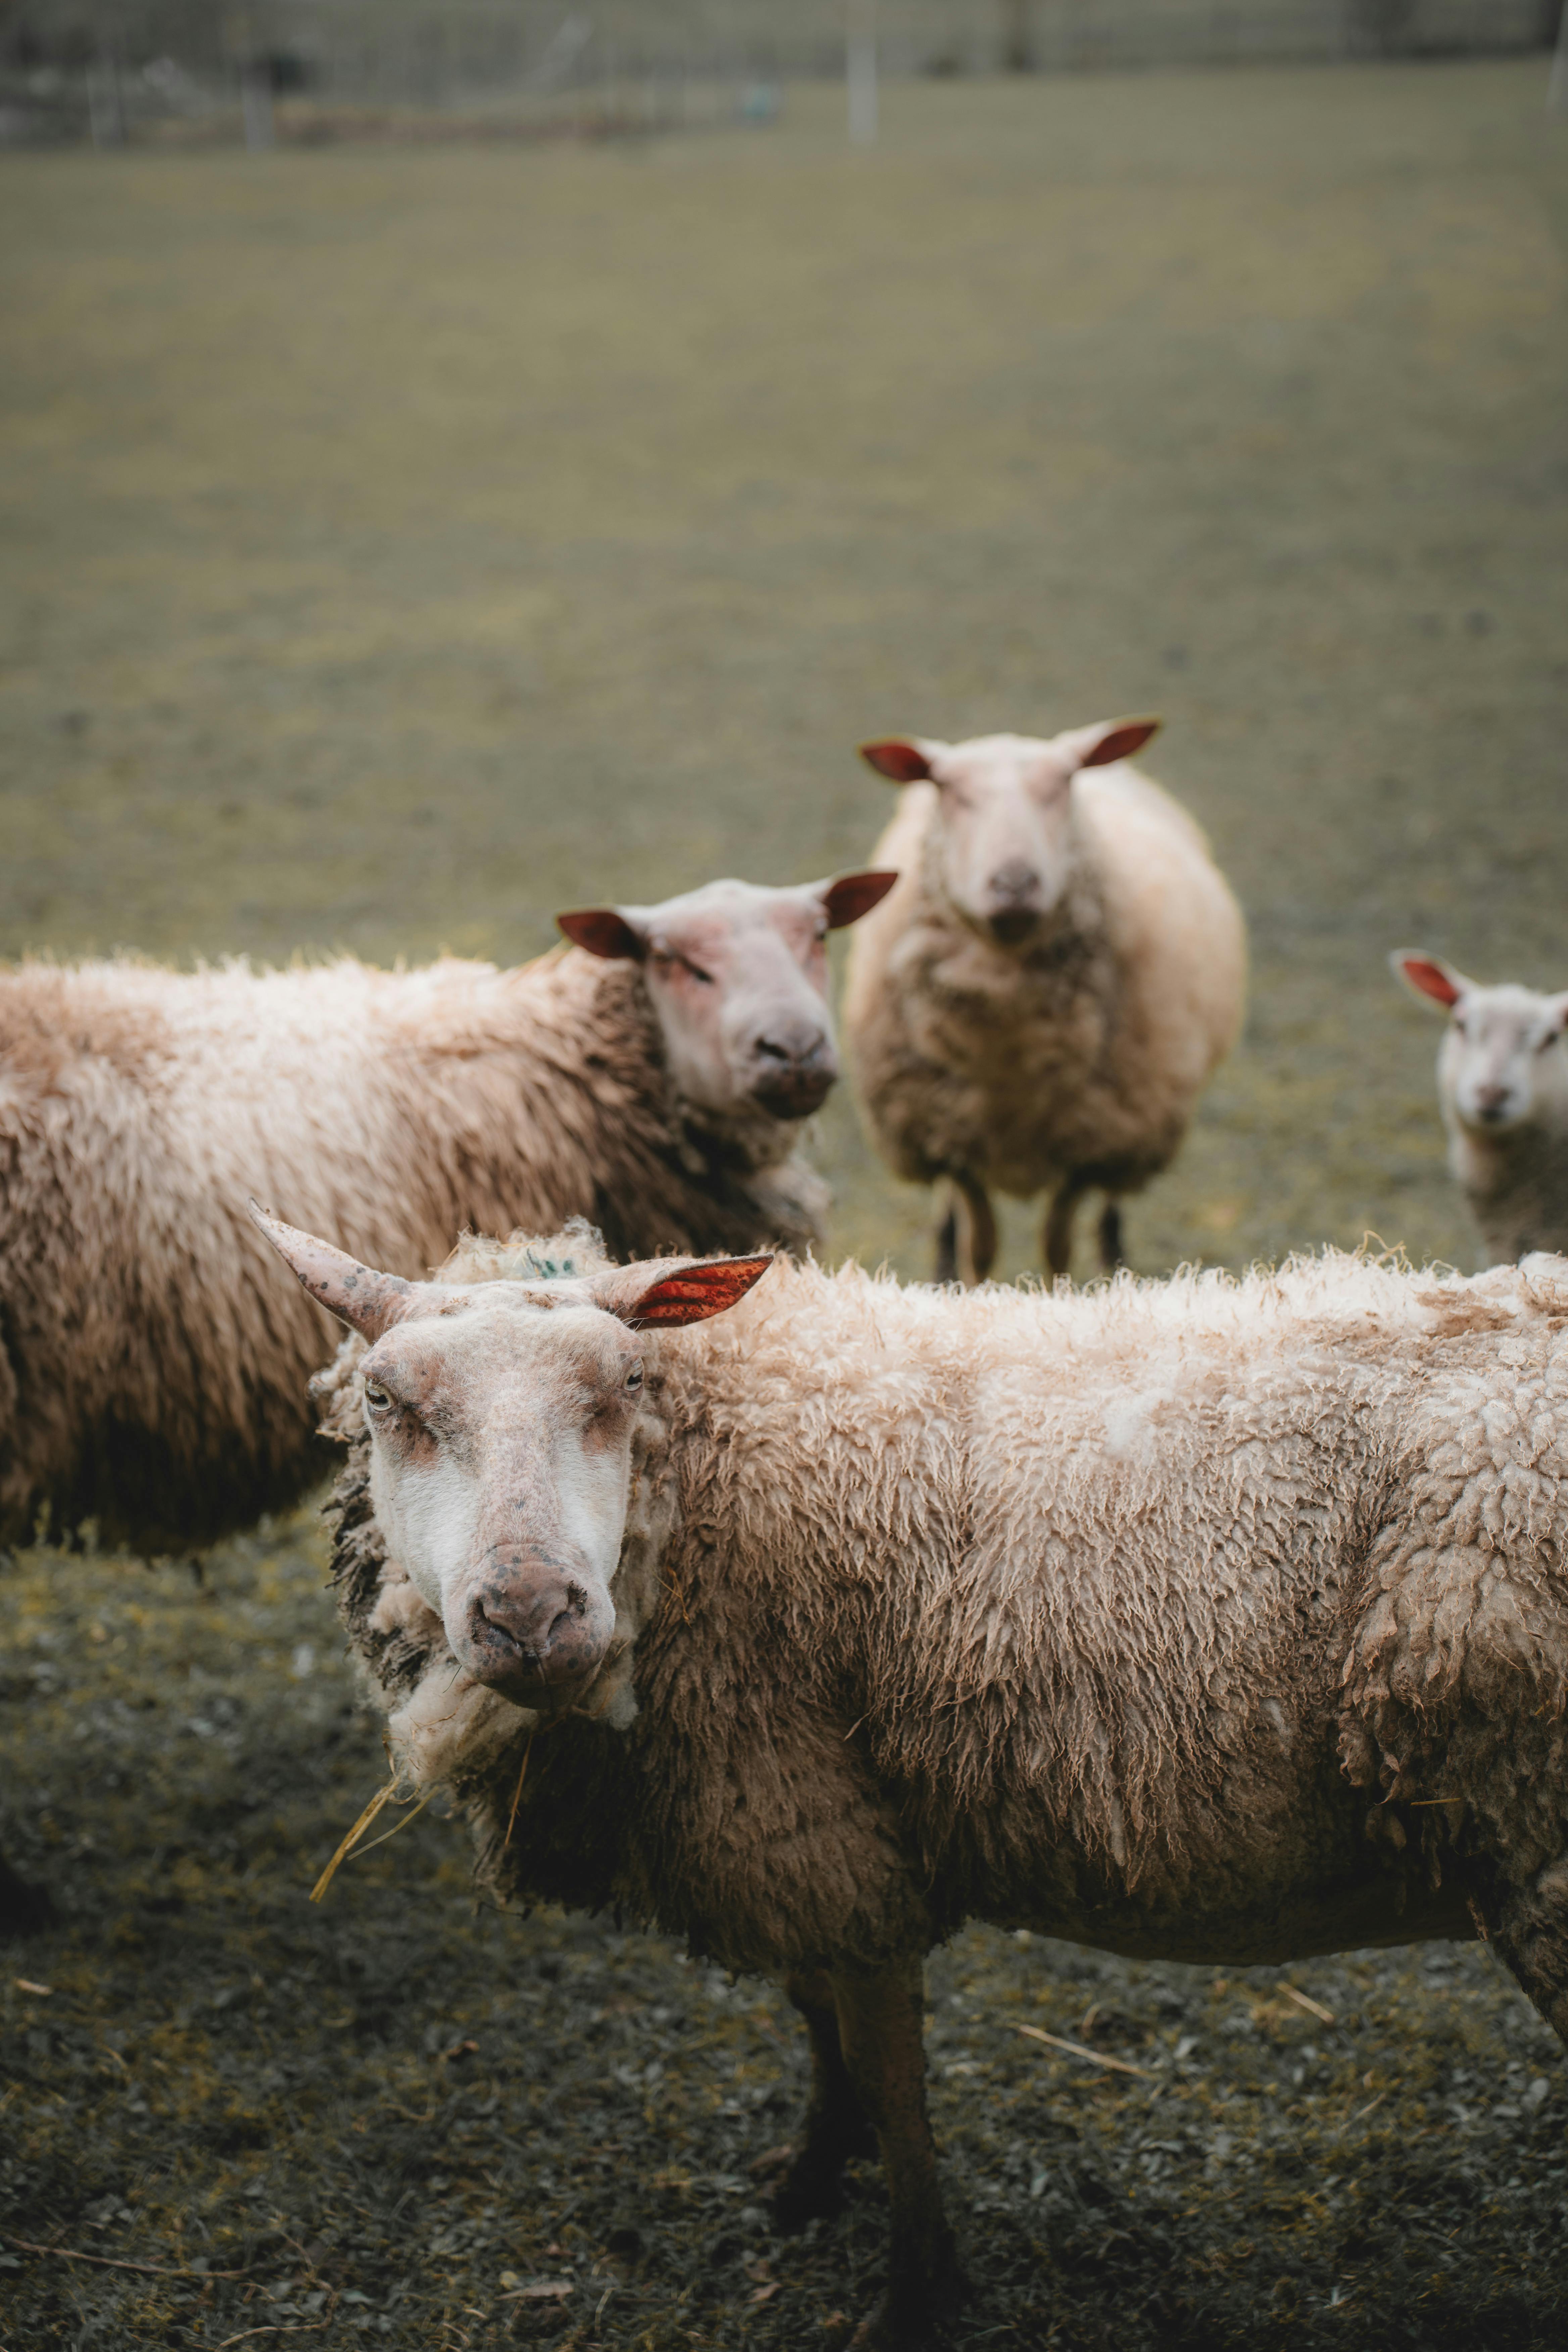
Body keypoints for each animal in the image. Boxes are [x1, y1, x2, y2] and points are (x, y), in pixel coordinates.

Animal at [256, 1208, 1568, 2349]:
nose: (531, 1612)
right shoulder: (786, 1821)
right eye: (385, 1399)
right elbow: (817, 2022)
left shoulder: (826, 1831)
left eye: (625, 1381)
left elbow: (890, 2077)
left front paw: (912, 2291)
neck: (708, 1480)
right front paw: (807, 2171)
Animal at [842, 719, 1246, 1283]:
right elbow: (980, 1244)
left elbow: (1057, 1245)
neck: (1011, 1062)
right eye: (950, 790)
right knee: (949, 1212)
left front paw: (1060, 1293)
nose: (1015, 884)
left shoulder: (1093, 1144)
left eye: (1063, 784)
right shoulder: (947, 1137)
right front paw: (970, 1284)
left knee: (1112, 1205)